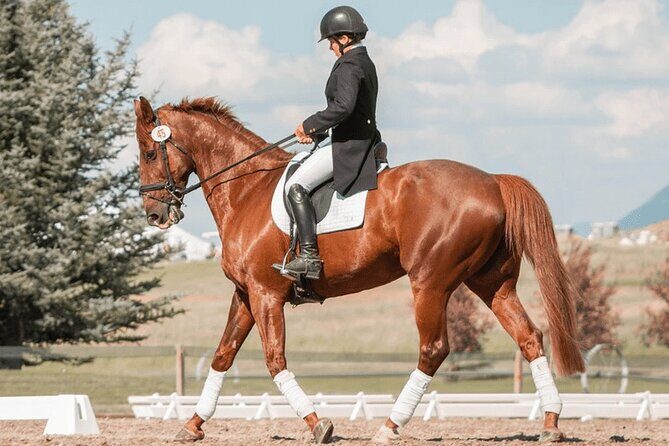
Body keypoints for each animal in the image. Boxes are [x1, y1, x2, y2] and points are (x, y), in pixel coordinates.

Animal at [134, 96, 584, 443]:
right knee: (529, 337)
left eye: (150, 152)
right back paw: (551, 422)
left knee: (433, 349)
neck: (246, 189)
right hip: (492, 283)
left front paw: (319, 425)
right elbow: (223, 355)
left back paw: (390, 426)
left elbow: (275, 360)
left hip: (430, 283)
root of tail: (493, 181)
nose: (155, 215)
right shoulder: (246, 294)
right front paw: (192, 425)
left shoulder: (266, 294)